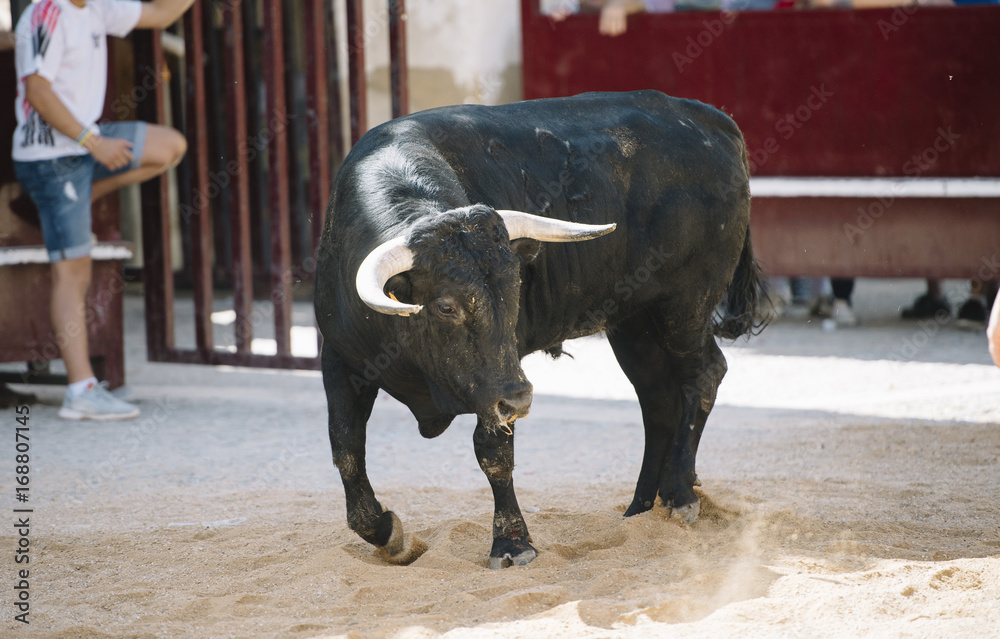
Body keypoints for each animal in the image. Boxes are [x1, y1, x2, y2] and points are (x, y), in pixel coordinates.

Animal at [314, 90, 767, 569]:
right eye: (445, 306)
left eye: (516, 288)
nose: (520, 399)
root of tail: (711, 119)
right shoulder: (340, 361)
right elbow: (346, 450)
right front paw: (389, 535)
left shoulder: (496, 383)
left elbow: (493, 452)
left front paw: (512, 544)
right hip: (634, 322)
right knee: (659, 400)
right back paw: (641, 508)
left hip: (686, 304)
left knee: (703, 375)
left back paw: (679, 494)